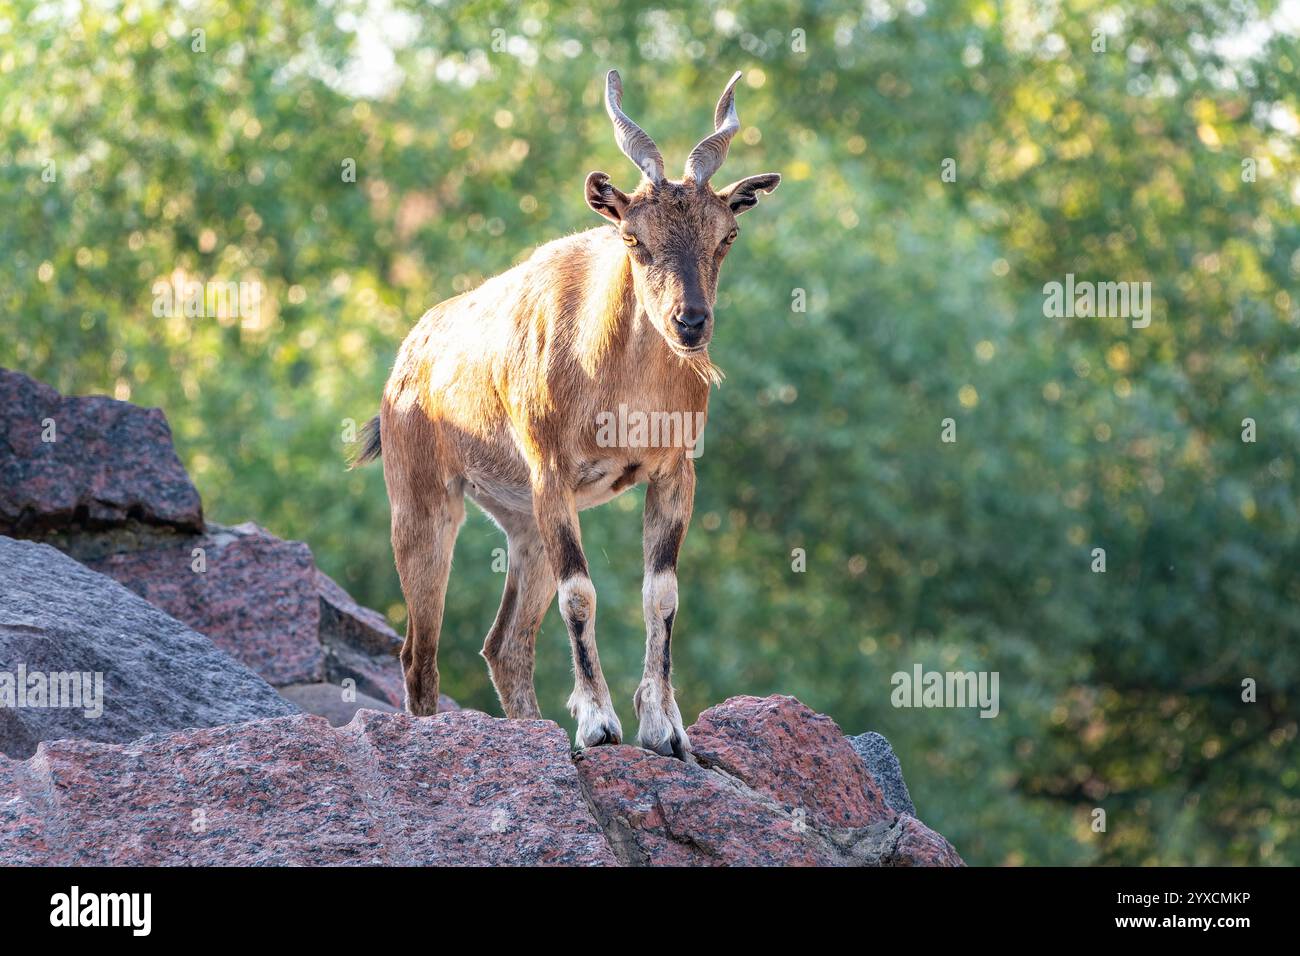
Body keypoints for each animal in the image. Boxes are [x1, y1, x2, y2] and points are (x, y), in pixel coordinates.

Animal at [355, 70, 780, 758]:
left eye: (726, 237)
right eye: (633, 237)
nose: (690, 323)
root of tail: (407, 359)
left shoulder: (673, 474)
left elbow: (661, 593)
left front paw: (664, 730)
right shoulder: (551, 474)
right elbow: (580, 594)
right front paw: (601, 725)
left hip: (522, 526)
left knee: (504, 645)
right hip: (423, 503)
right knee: (419, 654)